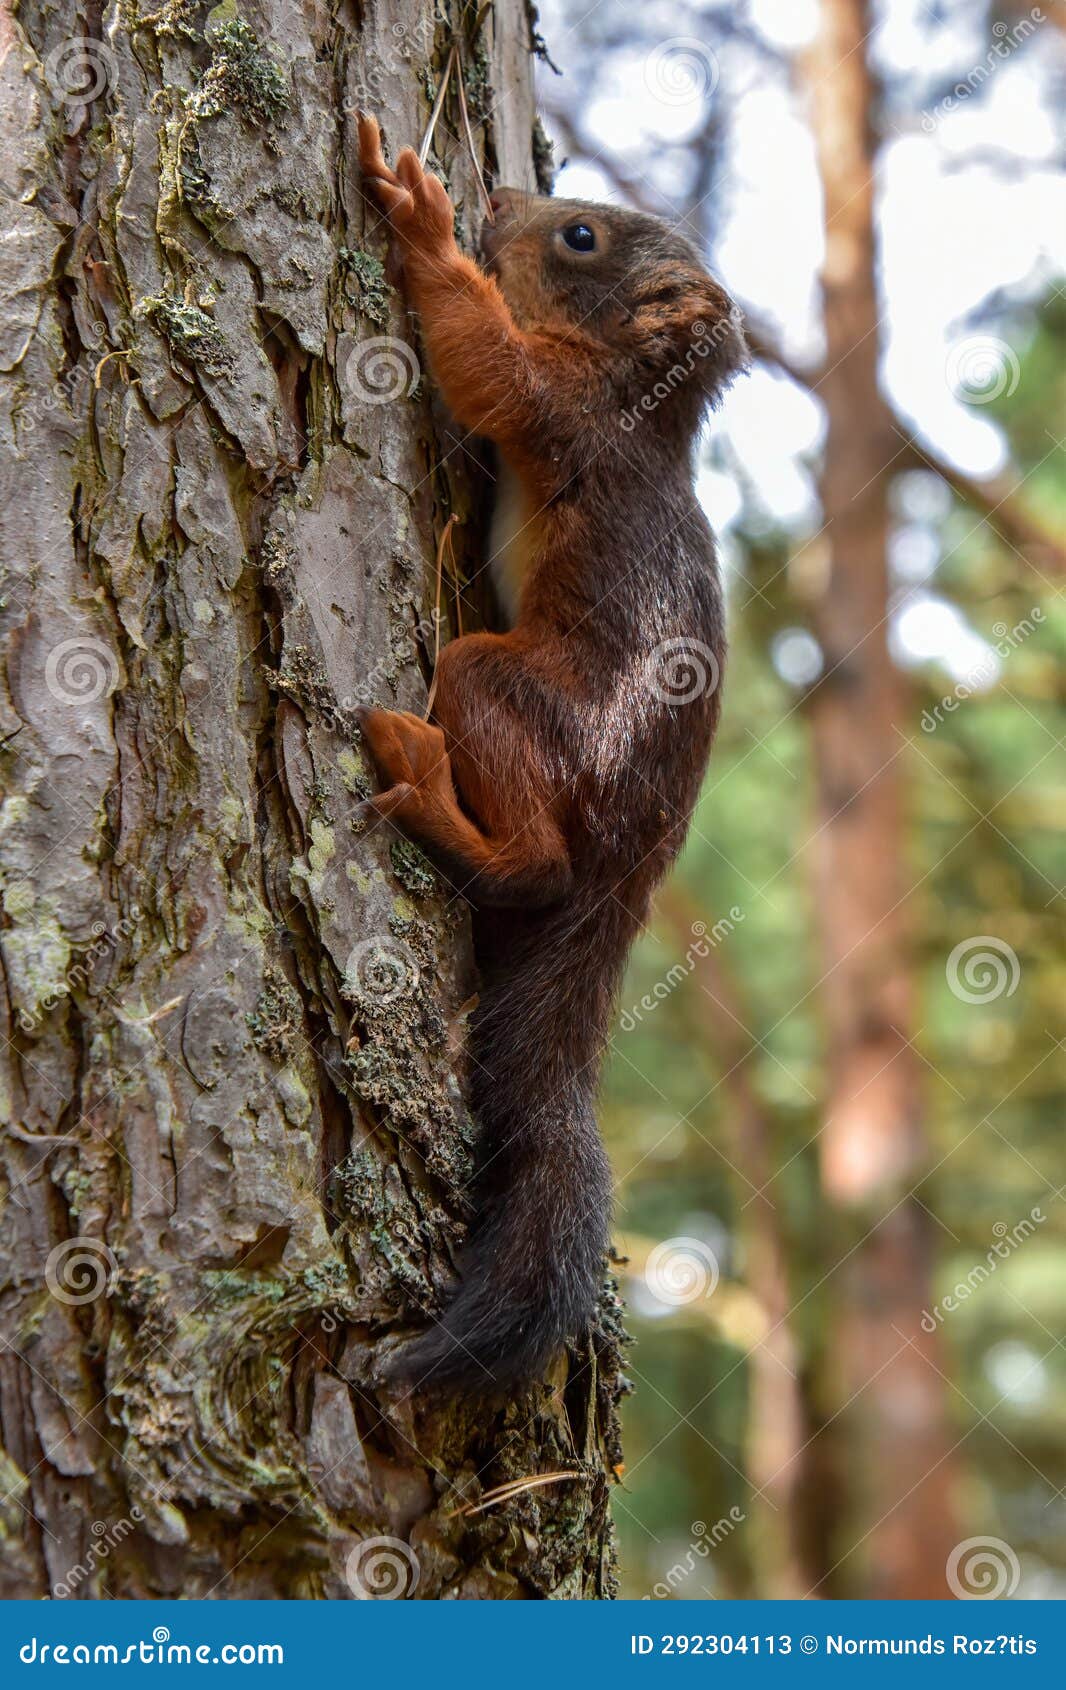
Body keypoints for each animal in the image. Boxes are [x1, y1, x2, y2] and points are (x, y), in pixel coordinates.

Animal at [356, 116, 747, 1392]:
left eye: (578, 237)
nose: (498, 196)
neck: (640, 402)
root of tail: (630, 872)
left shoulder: (562, 412)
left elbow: (489, 369)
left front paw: (424, 224)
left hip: (513, 694)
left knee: (532, 864)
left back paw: (434, 793)